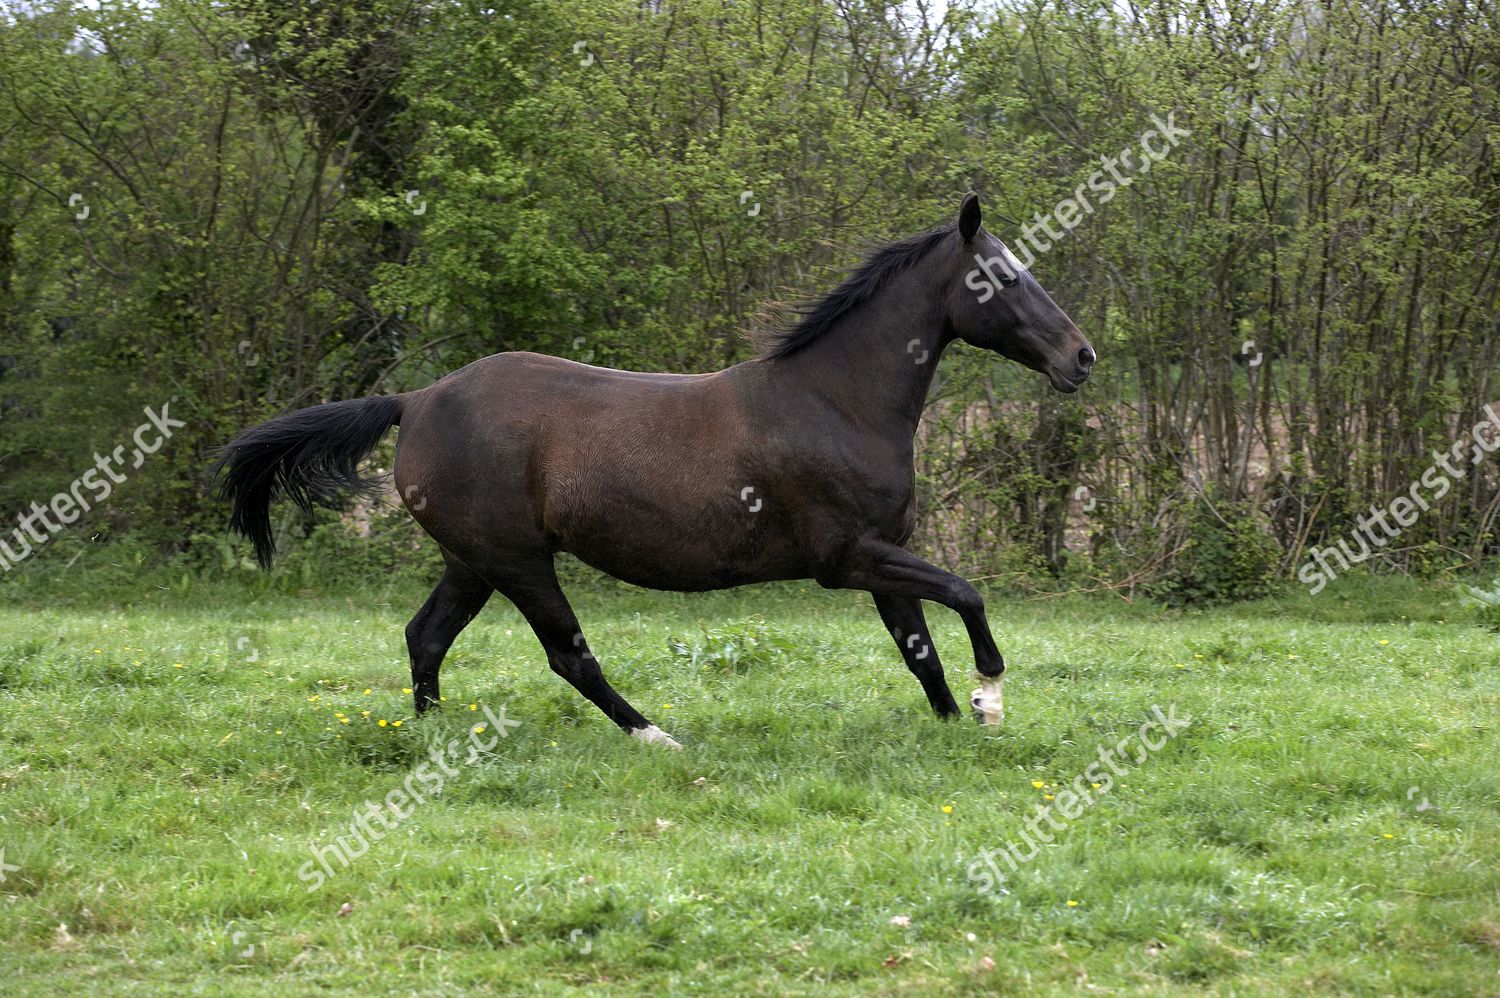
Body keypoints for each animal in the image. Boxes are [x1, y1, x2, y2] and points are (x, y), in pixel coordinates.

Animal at [216, 194, 1095, 748]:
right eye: (1003, 276)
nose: (1080, 358)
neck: (836, 402)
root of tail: (415, 398)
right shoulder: (846, 559)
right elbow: (965, 595)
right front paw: (990, 700)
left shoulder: (881, 554)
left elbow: (919, 647)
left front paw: (956, 722)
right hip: (517, 561)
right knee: (568, 655)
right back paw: (656, 736)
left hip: (472, 561)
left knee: (425, 637)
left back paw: (427, 735)